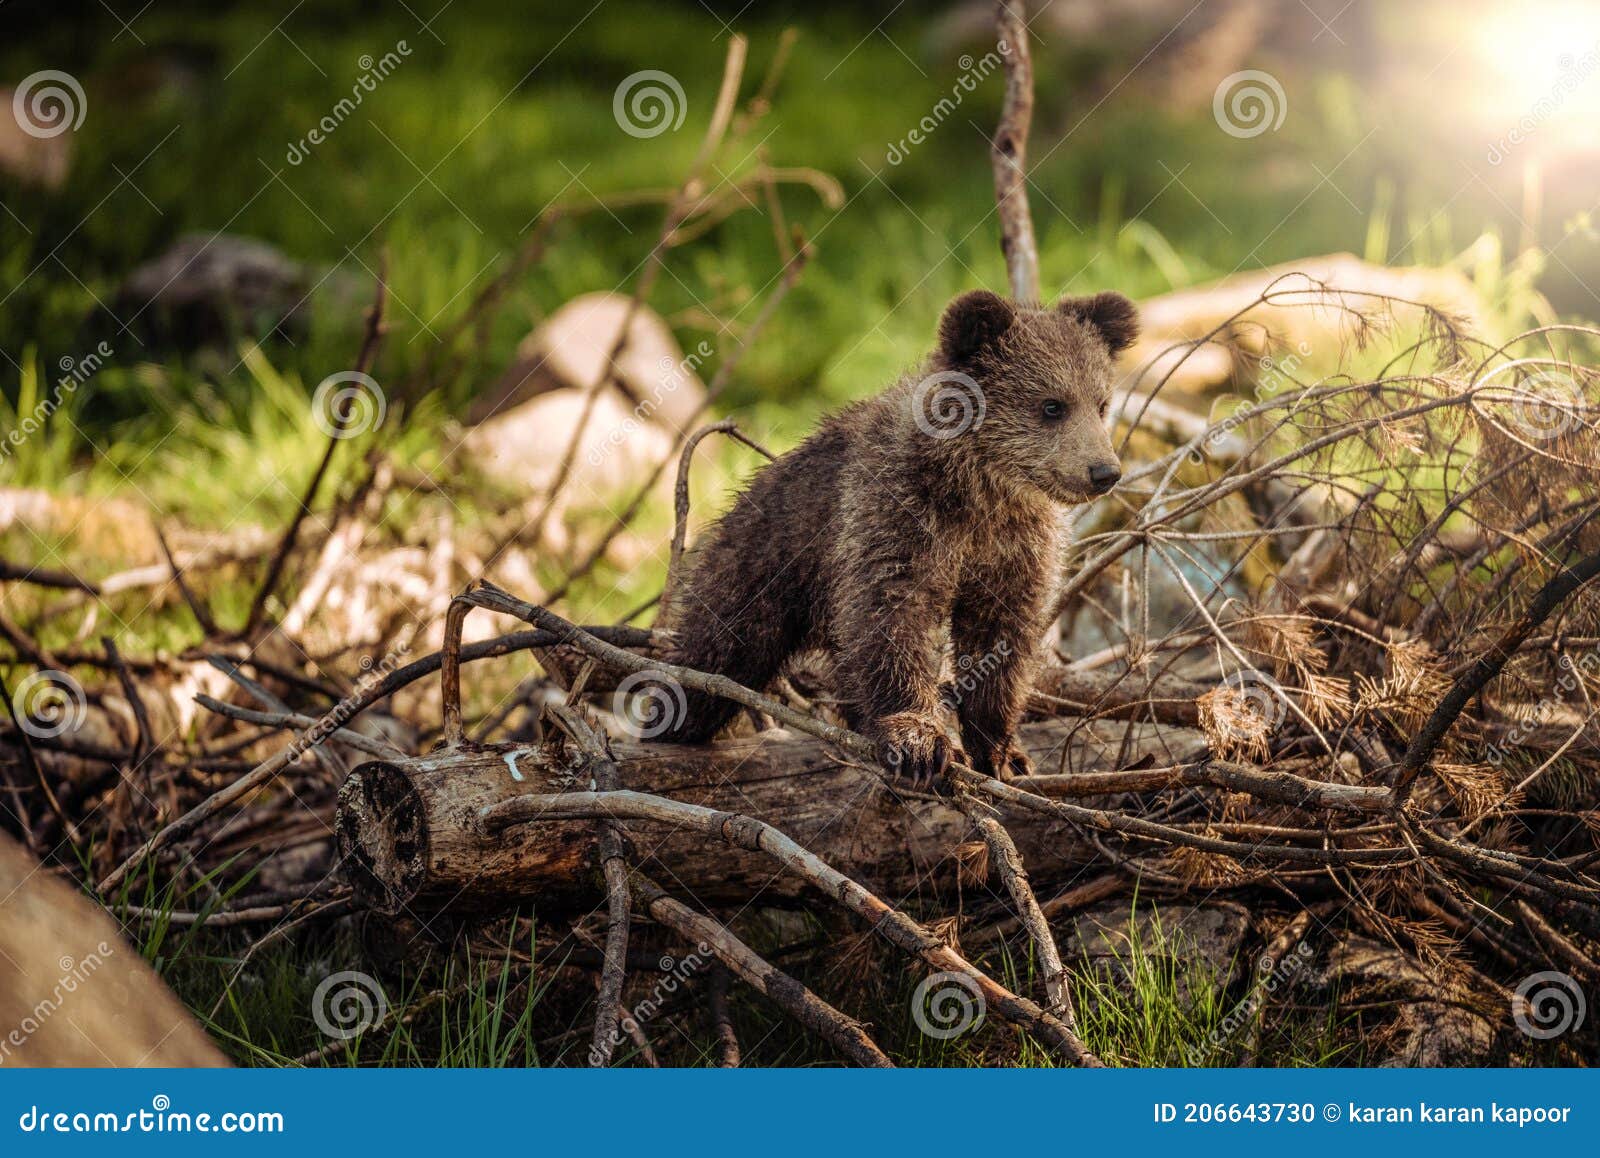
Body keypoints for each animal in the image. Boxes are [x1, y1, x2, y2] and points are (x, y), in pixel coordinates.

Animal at [651, 288, 1139, 787]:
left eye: (1101, 403)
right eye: (1052, 405)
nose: (1104, 472)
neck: (980, 491)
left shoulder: (1014, 546)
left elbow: (1001, 635)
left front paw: (1002, 752)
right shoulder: (897, 515)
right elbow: (892, 615)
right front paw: (920, 742)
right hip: (763, 560)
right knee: (719, 647)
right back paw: (671, 716)